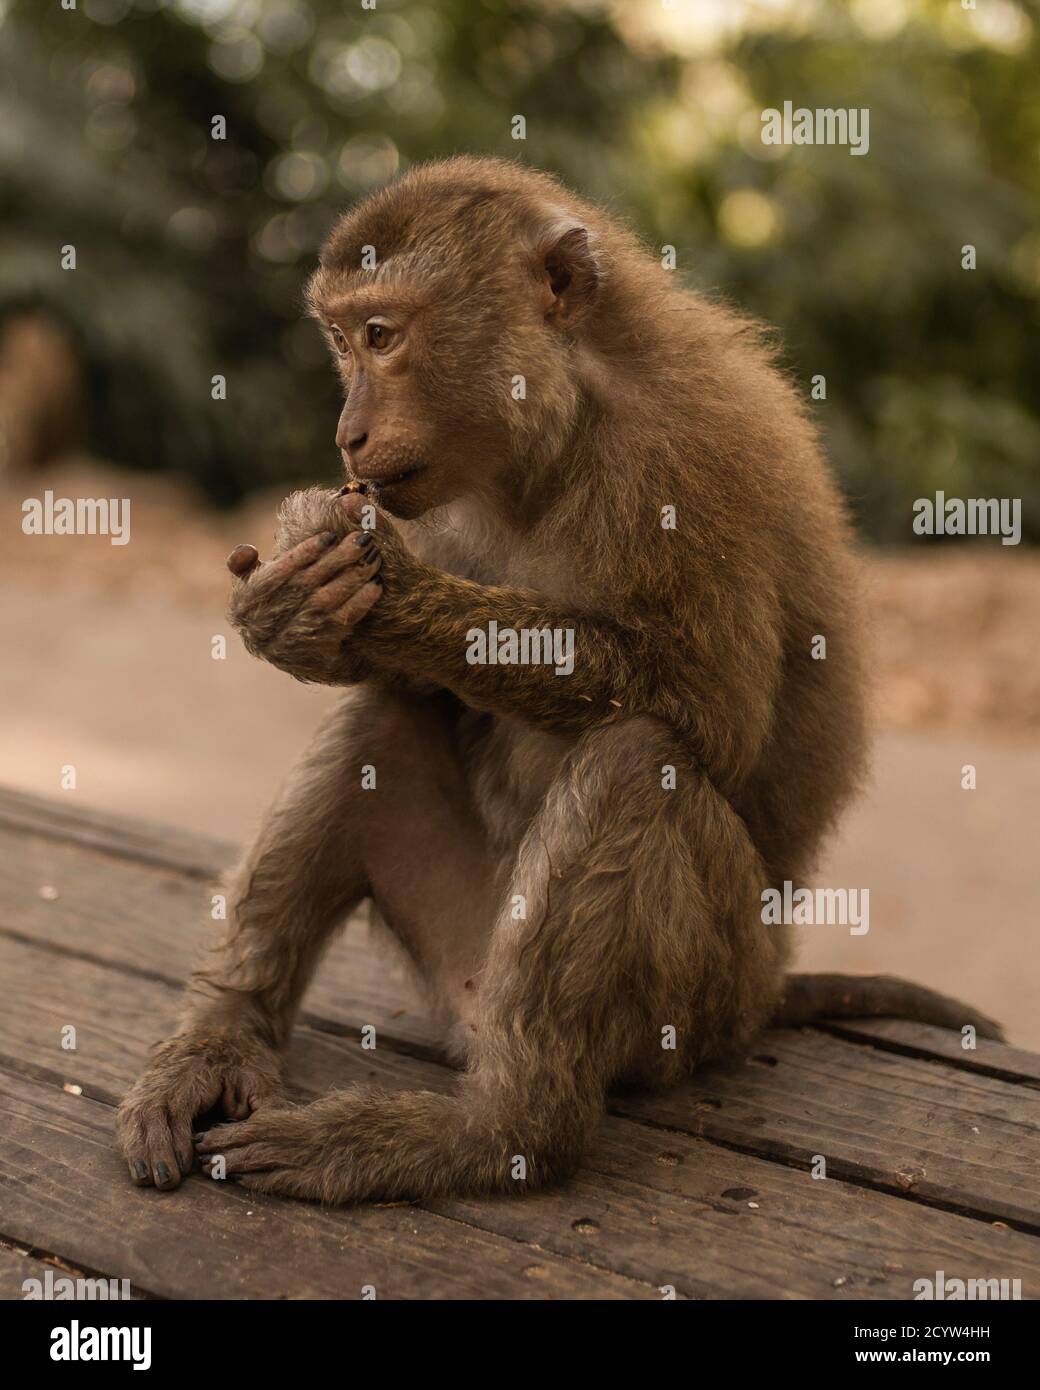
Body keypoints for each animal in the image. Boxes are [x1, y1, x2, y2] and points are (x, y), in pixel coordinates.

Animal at [117, 157, 1002, 1202]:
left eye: (382, 336)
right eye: (341, 339)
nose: (347, 434)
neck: (563, 428)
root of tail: (763, 991)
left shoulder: (681, 457)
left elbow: (714, 714)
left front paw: (387, 597)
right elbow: (420, 687)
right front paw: (297, 620)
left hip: (702, 995)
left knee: (637, 759)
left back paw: (497, 1134)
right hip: (457, 938)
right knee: (381, 721)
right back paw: (221, 1041)